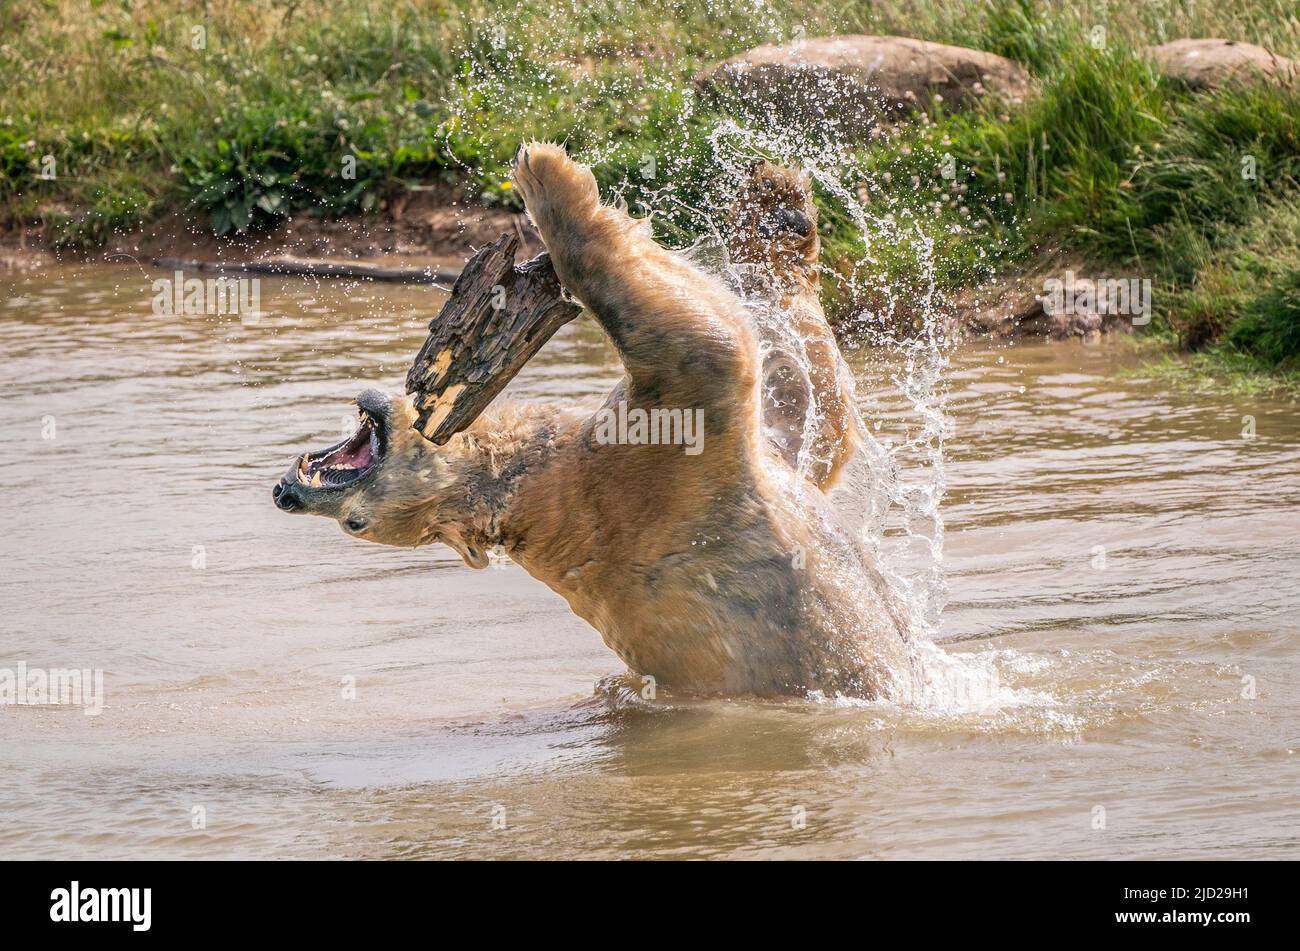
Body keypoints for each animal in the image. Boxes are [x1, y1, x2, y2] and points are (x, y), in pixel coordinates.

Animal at [273, 143, 918, 699]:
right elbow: (702, 343)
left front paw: (776, 200)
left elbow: (807, 403)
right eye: (355, 524)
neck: (517, 485)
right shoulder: (636, 480)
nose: (285, 493)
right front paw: (546, 176)